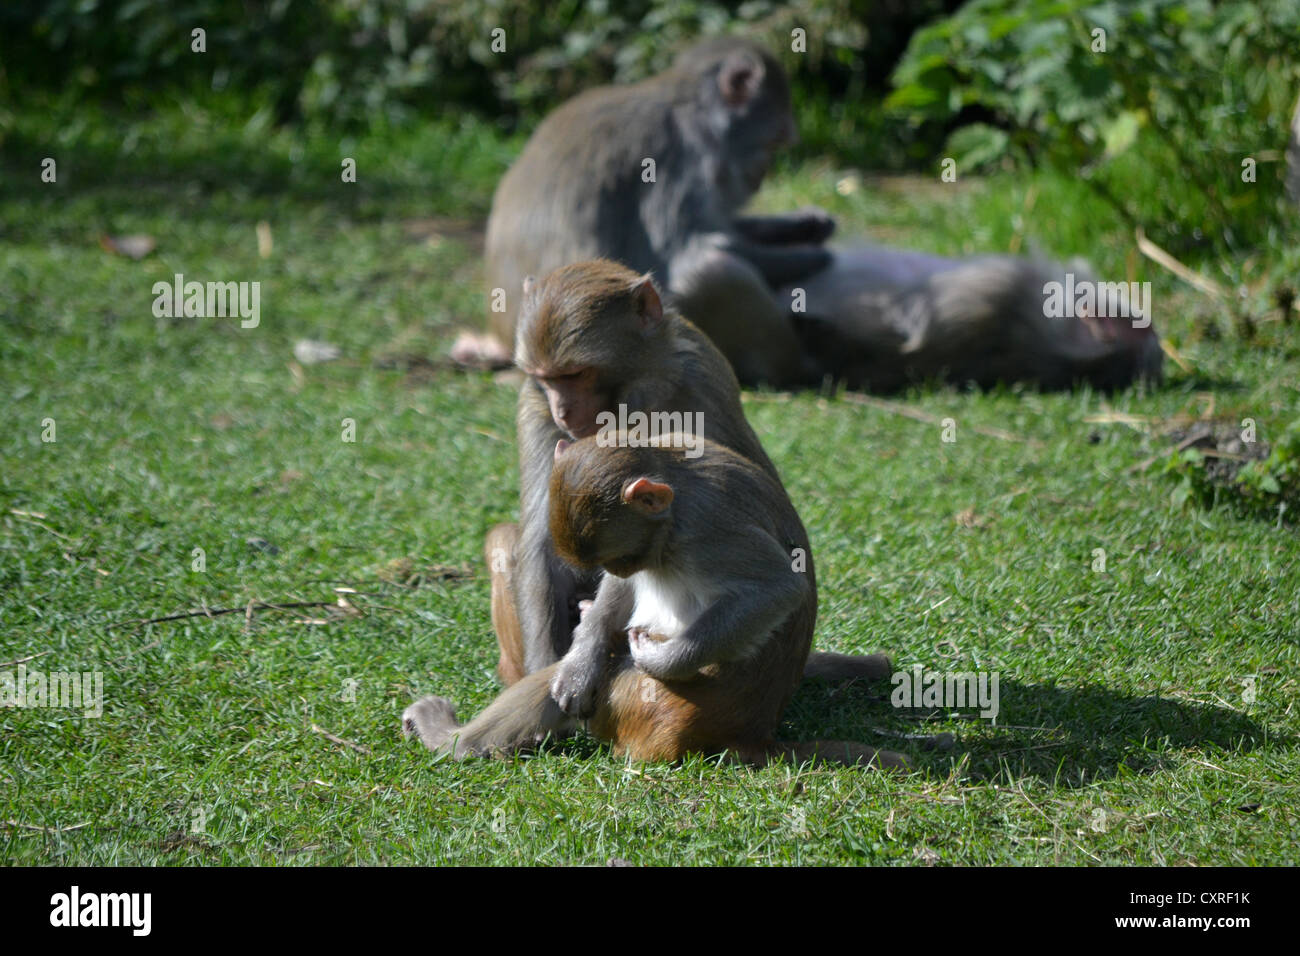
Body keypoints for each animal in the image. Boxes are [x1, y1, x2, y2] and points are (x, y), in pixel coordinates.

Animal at [404, 434, 907, 769]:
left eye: (623, 556)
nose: (625, 569)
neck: (673, 476)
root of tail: (753, 733)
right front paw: (580, 664)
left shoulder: (704, 528)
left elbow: (780, 587)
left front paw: (659, 658)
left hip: (648, 703)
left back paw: (449, 741)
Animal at [459, 35, 832, 386]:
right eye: (775, 141)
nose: (762, 175)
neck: (689, 106)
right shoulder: (681, 157)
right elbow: (698, 246)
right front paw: (808, 258)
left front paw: (807, 226)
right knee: (713, 270)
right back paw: (799, 368)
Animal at [488, 258, 891, 687]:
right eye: (545, 378)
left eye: (575, 374)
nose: (562, 412)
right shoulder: (533, 403)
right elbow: (543, 541)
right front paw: (565, 665)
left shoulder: (697, 385)